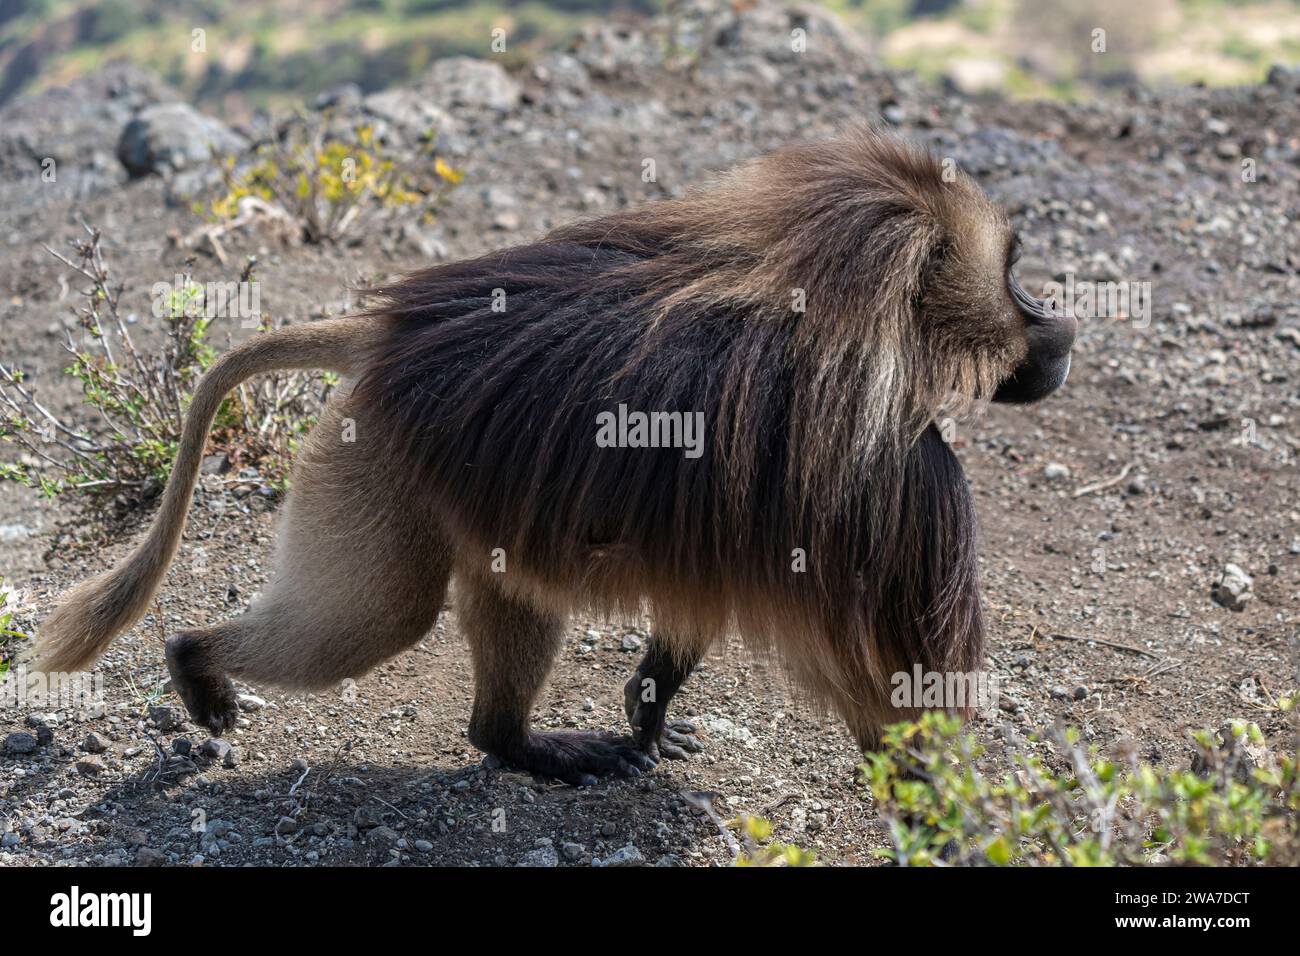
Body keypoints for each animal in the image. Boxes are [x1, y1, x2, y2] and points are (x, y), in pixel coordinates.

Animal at [29, 127, 1075, 785]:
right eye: (1014, 279)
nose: (1062, 333)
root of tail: (383, 334)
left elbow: (693, 604)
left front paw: (648, 709)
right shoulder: (898, 475)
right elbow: (887, 673)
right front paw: (926, 789)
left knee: (489, 635)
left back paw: (520, 743)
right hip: (382, 469)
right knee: (379, 623)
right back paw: (198, 668)